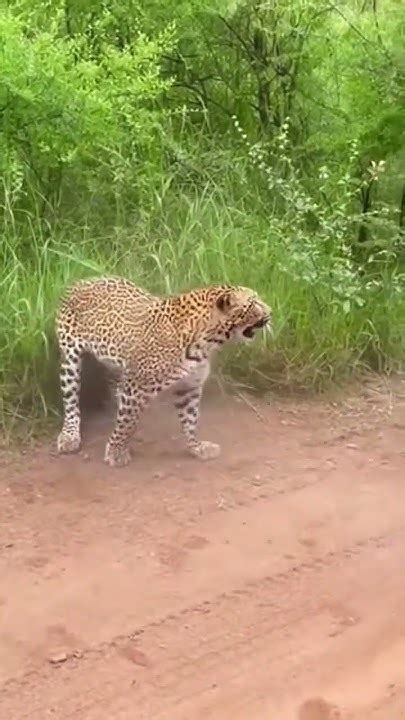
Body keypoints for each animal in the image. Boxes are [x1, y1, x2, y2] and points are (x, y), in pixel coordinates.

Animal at [55, 276, 271, 467]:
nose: (271, 311)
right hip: (70, 358)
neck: (208, 342)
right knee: (71, 400)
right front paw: (116, 452)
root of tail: (79, 282)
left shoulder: (189, 387)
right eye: (254, 303)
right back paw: (70, 436)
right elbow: (127, 422)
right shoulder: (137, 386)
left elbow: (190, 420)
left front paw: (197, 448)